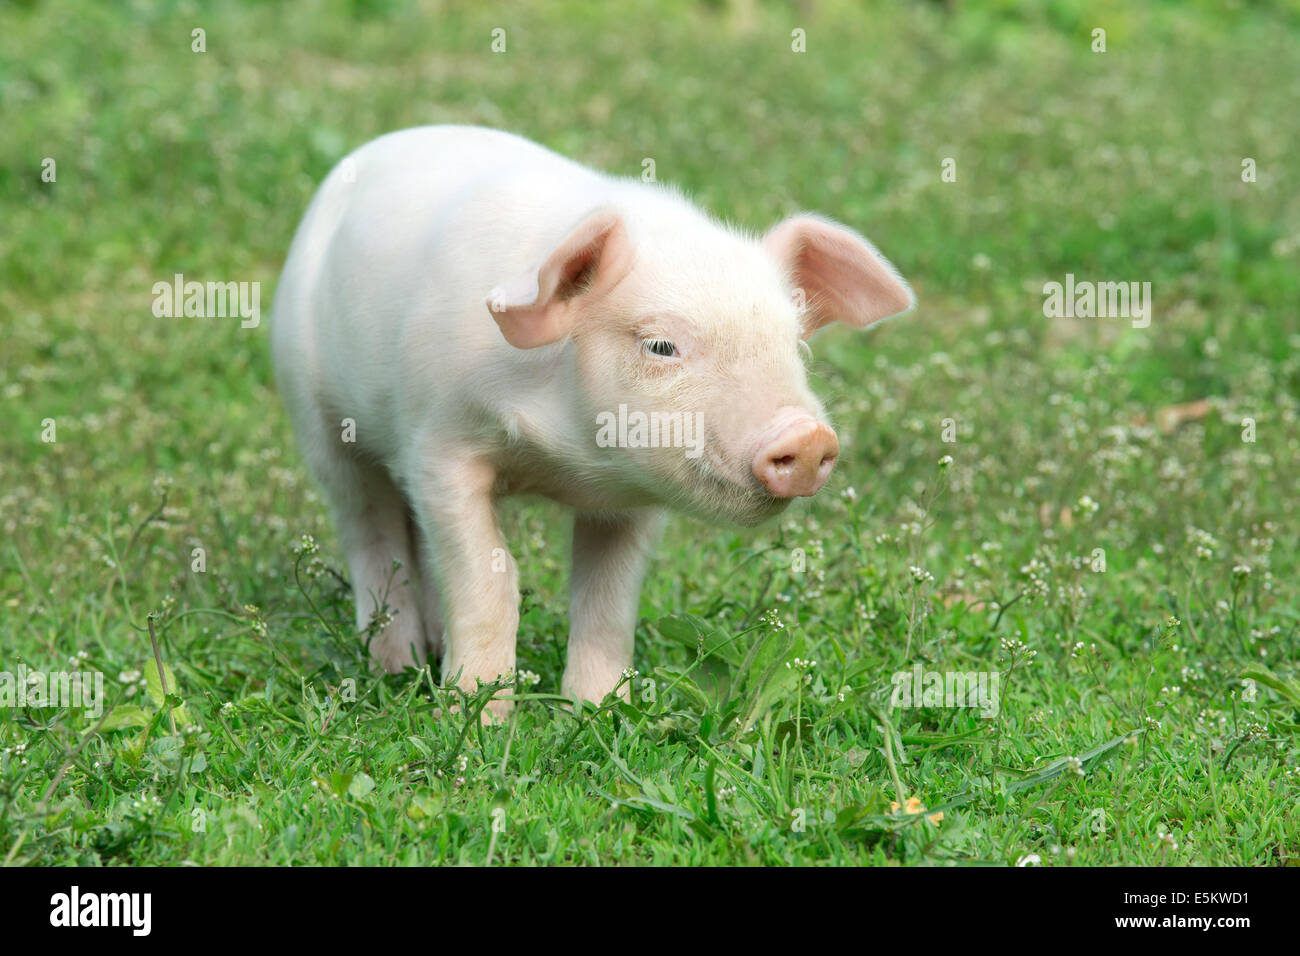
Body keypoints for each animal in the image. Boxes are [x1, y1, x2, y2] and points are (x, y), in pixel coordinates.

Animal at [271, 125, 913, 719]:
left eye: (795, 346)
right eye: (661, 345)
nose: (806, 437)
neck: (566, 461)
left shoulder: (634, 500)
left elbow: (607, 598)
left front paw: (601, 711)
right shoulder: (437, 447)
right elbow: (489, 578)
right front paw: (476, 719)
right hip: (317, 419)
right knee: (370, 528)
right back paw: (395, 666)